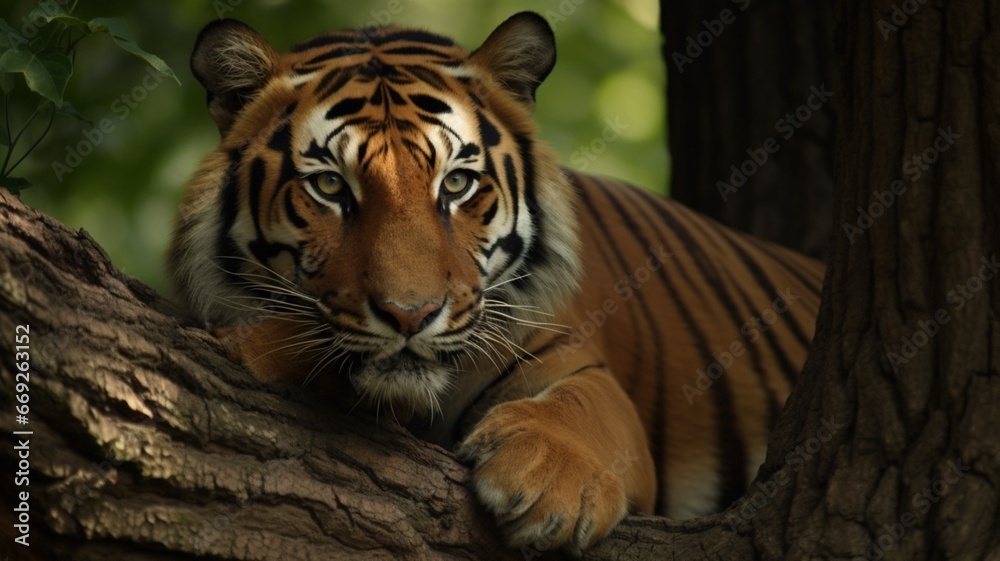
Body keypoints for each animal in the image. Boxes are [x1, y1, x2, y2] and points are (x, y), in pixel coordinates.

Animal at [168, 11, 823, 554]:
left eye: (456, 184)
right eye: (330, 186)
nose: (410, 315)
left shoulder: (578, 364)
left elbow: (587, 409)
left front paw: (550, 480)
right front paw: (254, 344)